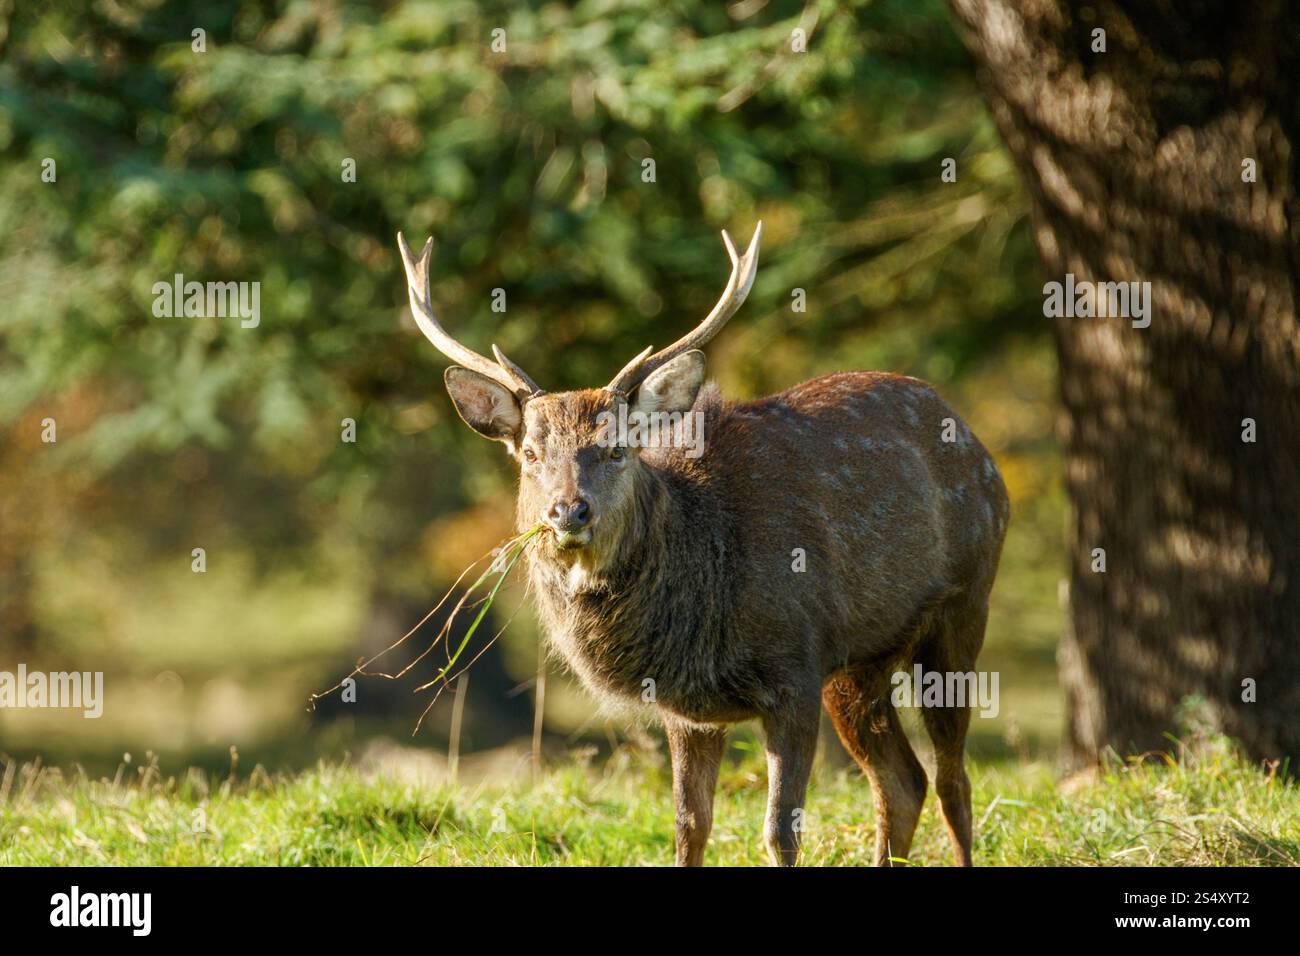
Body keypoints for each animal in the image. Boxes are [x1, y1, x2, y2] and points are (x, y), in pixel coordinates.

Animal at [396, 221, 1009, 867]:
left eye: (618, 448)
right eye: (530, 454)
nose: (568, 511)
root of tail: (973, 439)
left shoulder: (794, 671)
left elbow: (780, 830)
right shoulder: (688, 712)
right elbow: (690, 825)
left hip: (964, 606)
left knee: (952, 780)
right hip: (859, 664)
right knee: (902, 780)